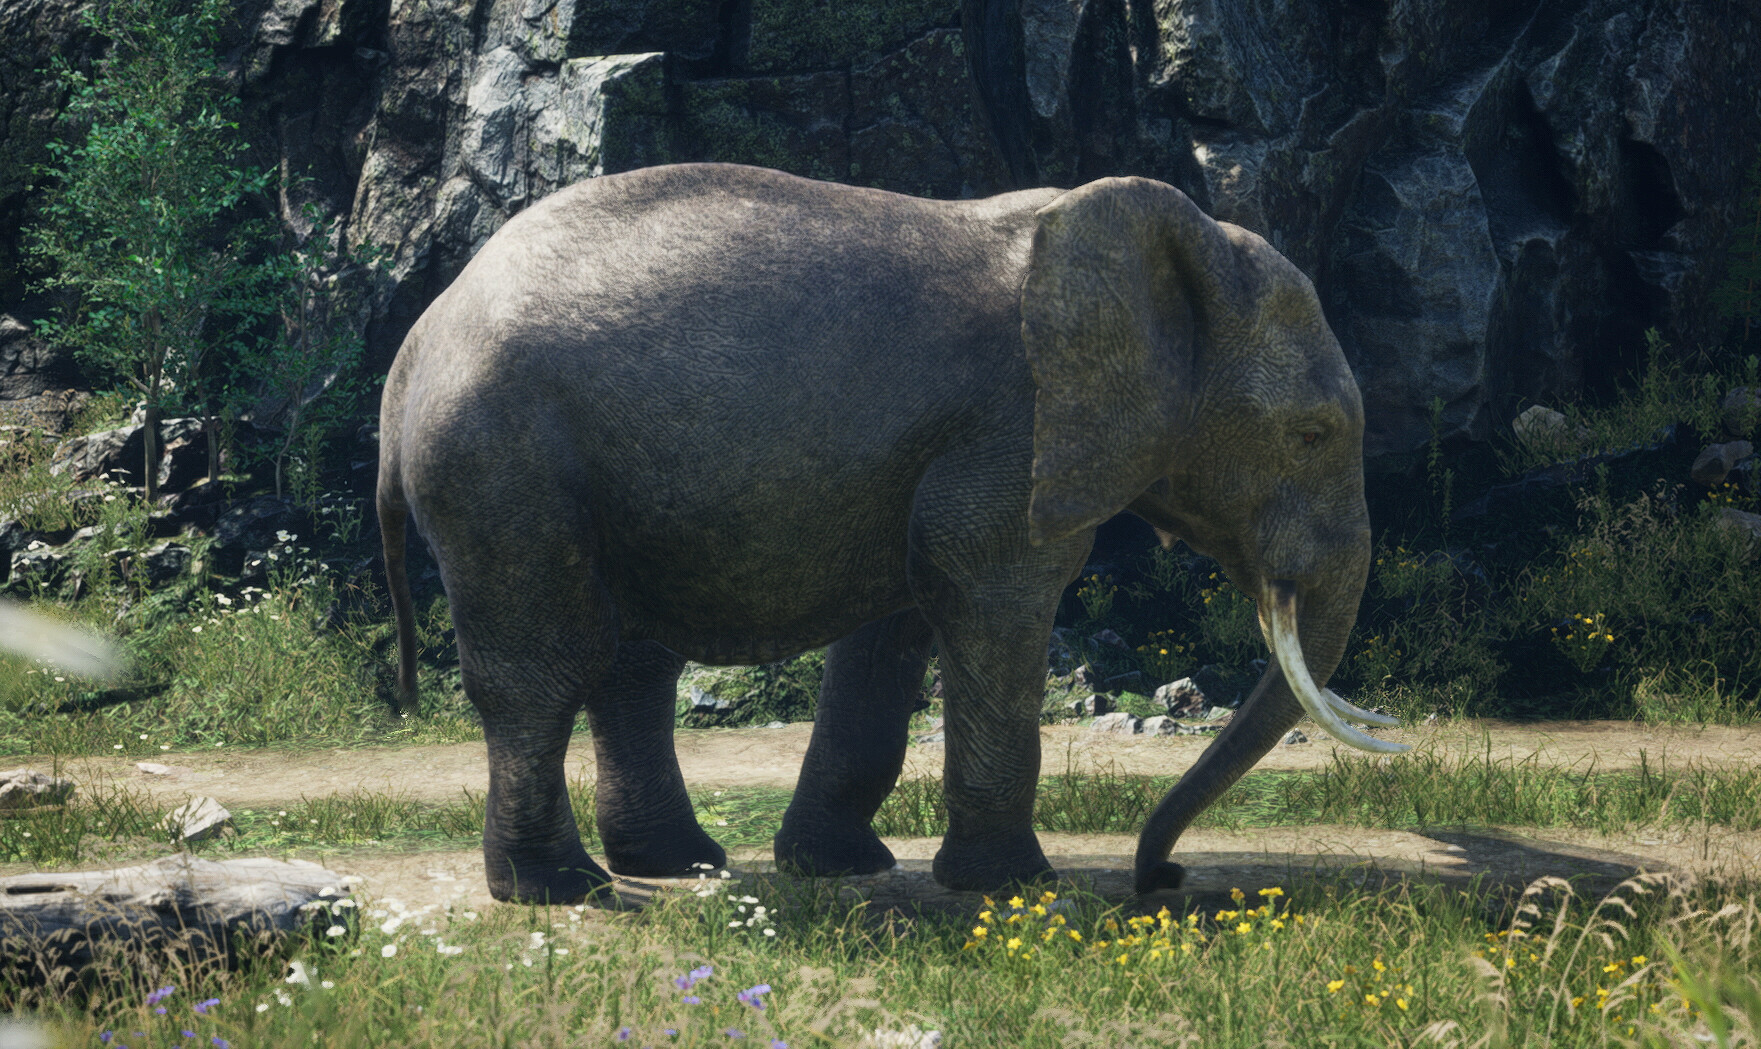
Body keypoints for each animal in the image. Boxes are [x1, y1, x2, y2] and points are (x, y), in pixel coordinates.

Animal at [376, 162, 1408, 905]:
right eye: (1311, 434)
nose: (1163, 876)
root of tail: (412, 351)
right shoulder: (1010, 427)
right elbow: (989, 597)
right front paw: (1014, 886)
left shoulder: (926, 448)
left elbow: (896, 624)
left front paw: (836, 869)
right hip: (503, 460)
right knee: (543, 664)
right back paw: (561, 891)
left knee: (629, 662)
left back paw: (678, 866)